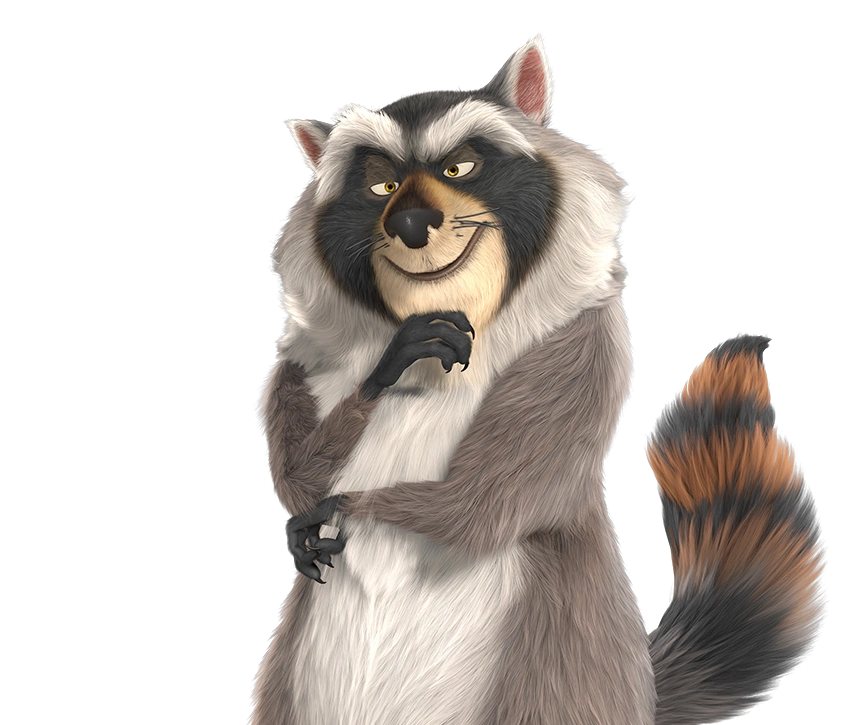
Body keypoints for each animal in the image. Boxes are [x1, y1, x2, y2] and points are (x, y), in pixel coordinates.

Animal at [251, 34, 823, 725]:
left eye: (460, 168)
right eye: (381, 184)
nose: (409, 225)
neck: (455, 314)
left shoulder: (585, 344)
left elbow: (481, 503)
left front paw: (349, 504)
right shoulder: (301, 362)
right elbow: (299, 465)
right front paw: (381, 374)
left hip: (563, 680)